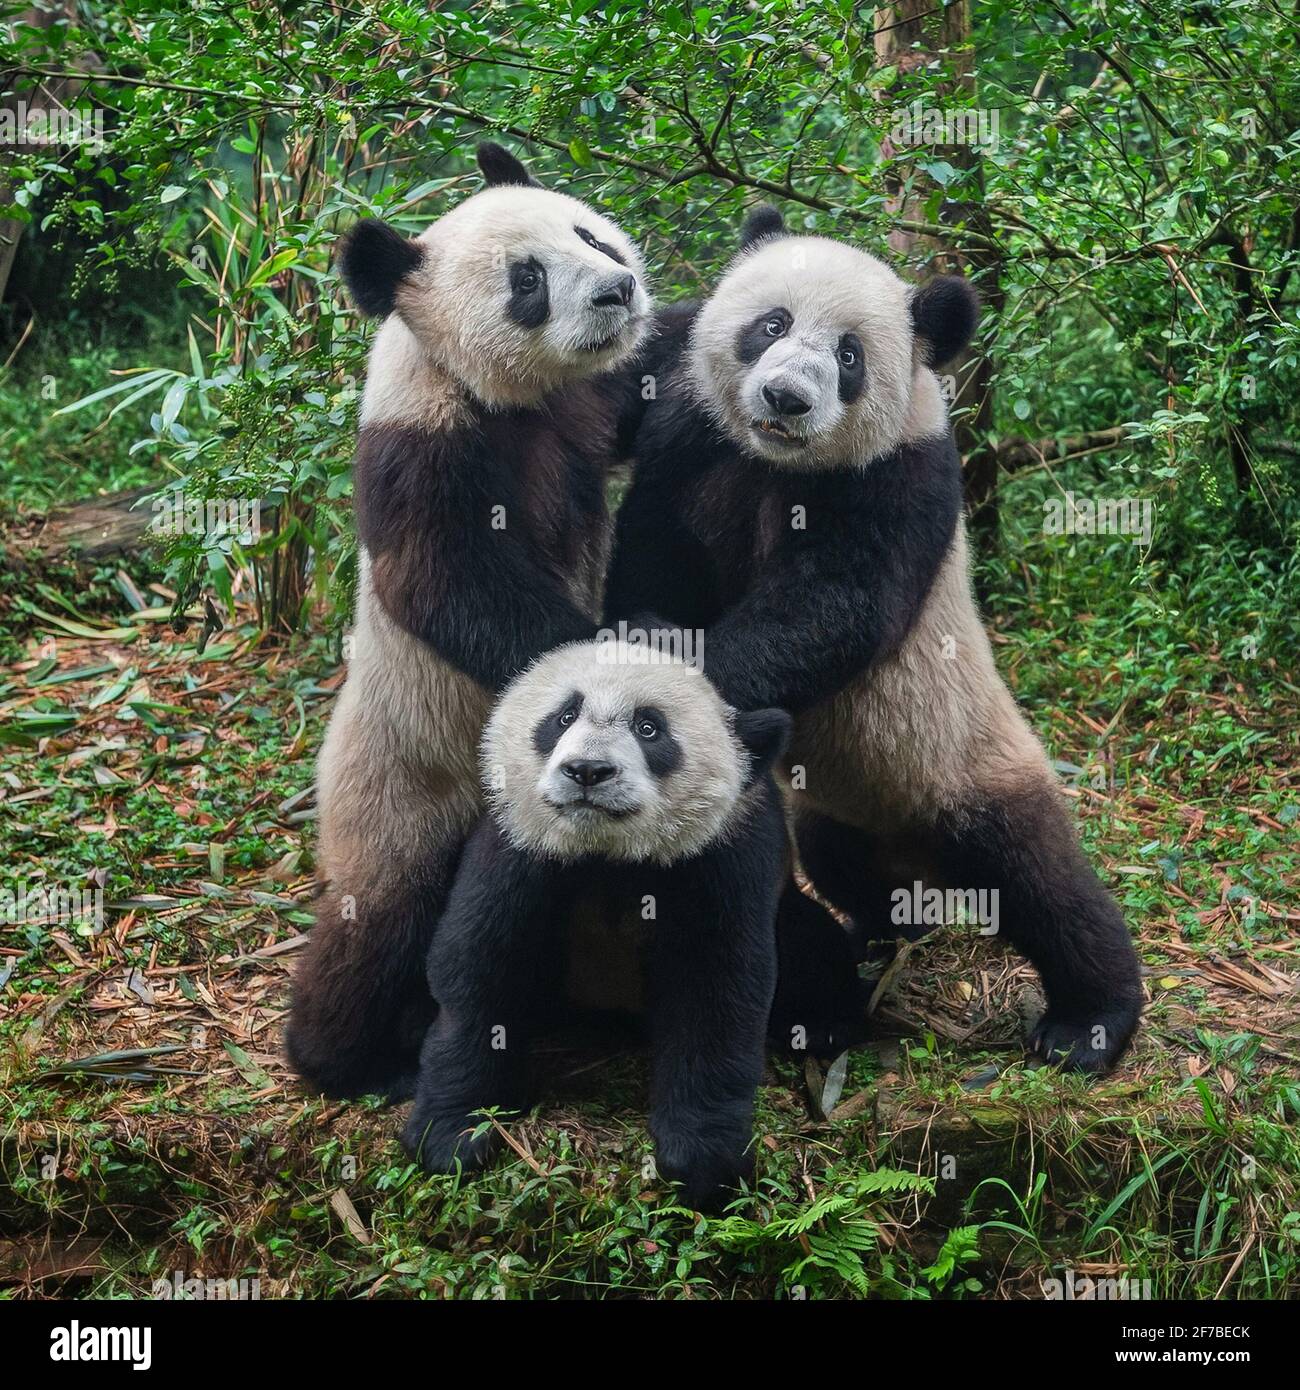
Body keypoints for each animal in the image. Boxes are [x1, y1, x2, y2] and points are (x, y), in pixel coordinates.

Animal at [286, 144, 653, 1101]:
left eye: (589, 234)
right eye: (527, 281)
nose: (618, 288)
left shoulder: (587, 405)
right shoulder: (422, 447)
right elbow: (444, 585)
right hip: (402, 779)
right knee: (381, 917)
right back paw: (343, 1058)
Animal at [402, 637, 792, 1212]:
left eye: (649, 728)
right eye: (564, 716)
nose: (587, 770)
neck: (609, 853)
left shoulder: (718, 860)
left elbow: (718, 989)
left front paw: (704, 1161)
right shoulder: (520, 848)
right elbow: (478, 970)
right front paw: (450, 1133)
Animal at [604, 206, 1144, 1073]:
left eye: (849, 356)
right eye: (772, 324)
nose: (786, 397)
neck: (776, 461)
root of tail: (926, 859)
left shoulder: (897, 474)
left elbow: (836, 607)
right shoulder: (694, 435)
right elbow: (660, 551)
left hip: (971, 765)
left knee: (1041, 882)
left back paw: (1088, 1020)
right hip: (846, 806)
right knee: (844, 864)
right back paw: (878, 932)